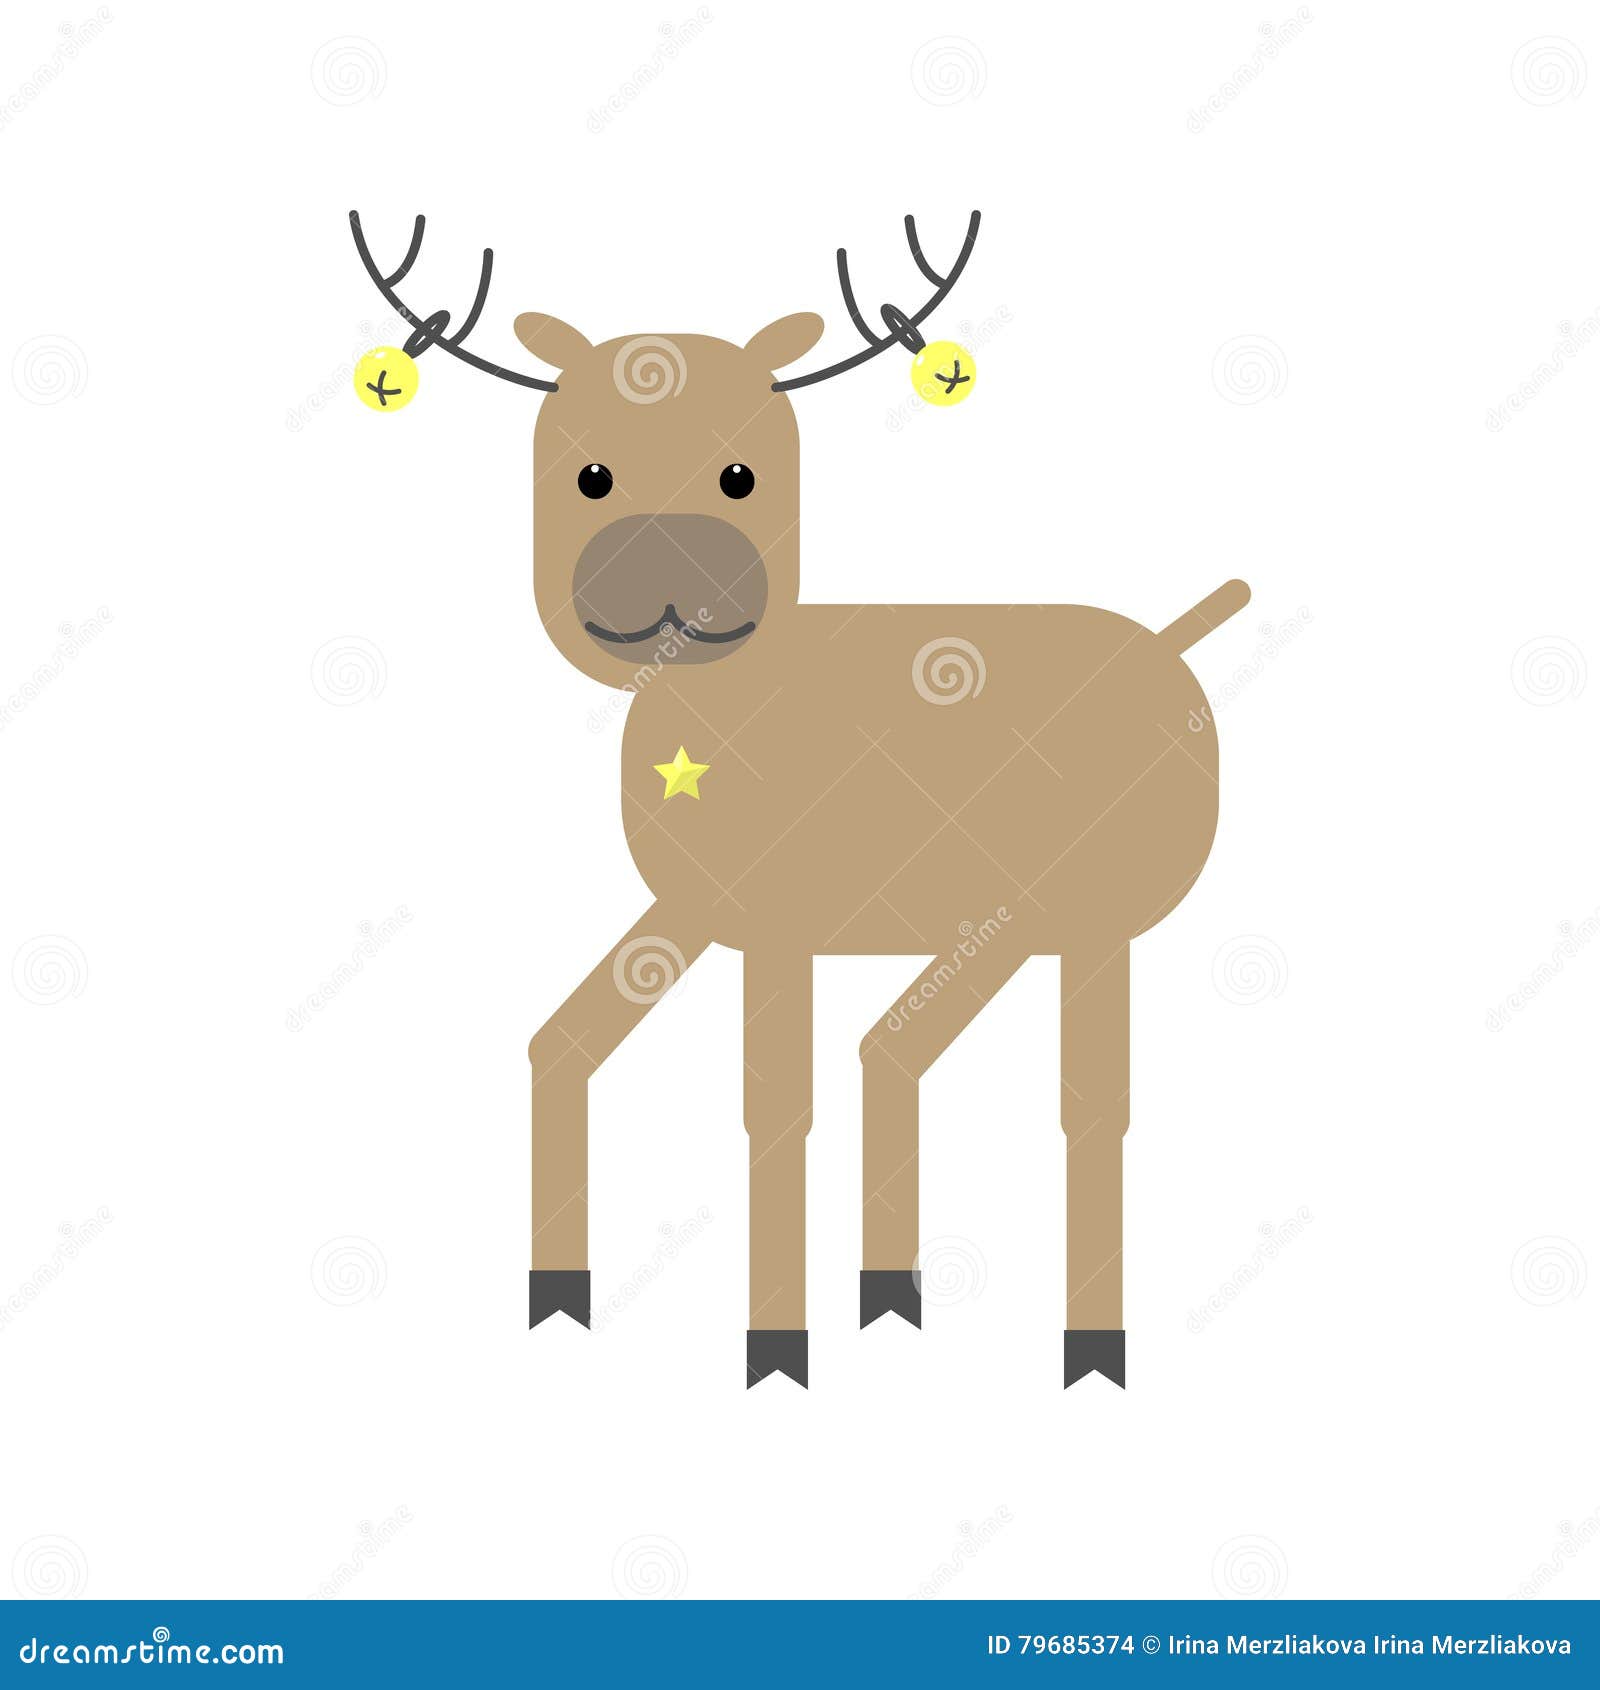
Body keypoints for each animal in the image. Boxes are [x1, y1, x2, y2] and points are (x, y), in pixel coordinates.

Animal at [350, 208, 1249, 1391]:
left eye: (742, 473)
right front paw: (557, 1294)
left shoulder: (777, 929)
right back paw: (893, 1294)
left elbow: (773, 1104)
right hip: (1008, 929)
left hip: (1078, 922)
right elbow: (560, 1044)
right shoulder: (695, 914)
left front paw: (774, 1346)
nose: (672, 567)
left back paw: (1084, 1350)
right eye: (588, 473)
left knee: (1080, 1105)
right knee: (898, 1052)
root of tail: (1175, 645)